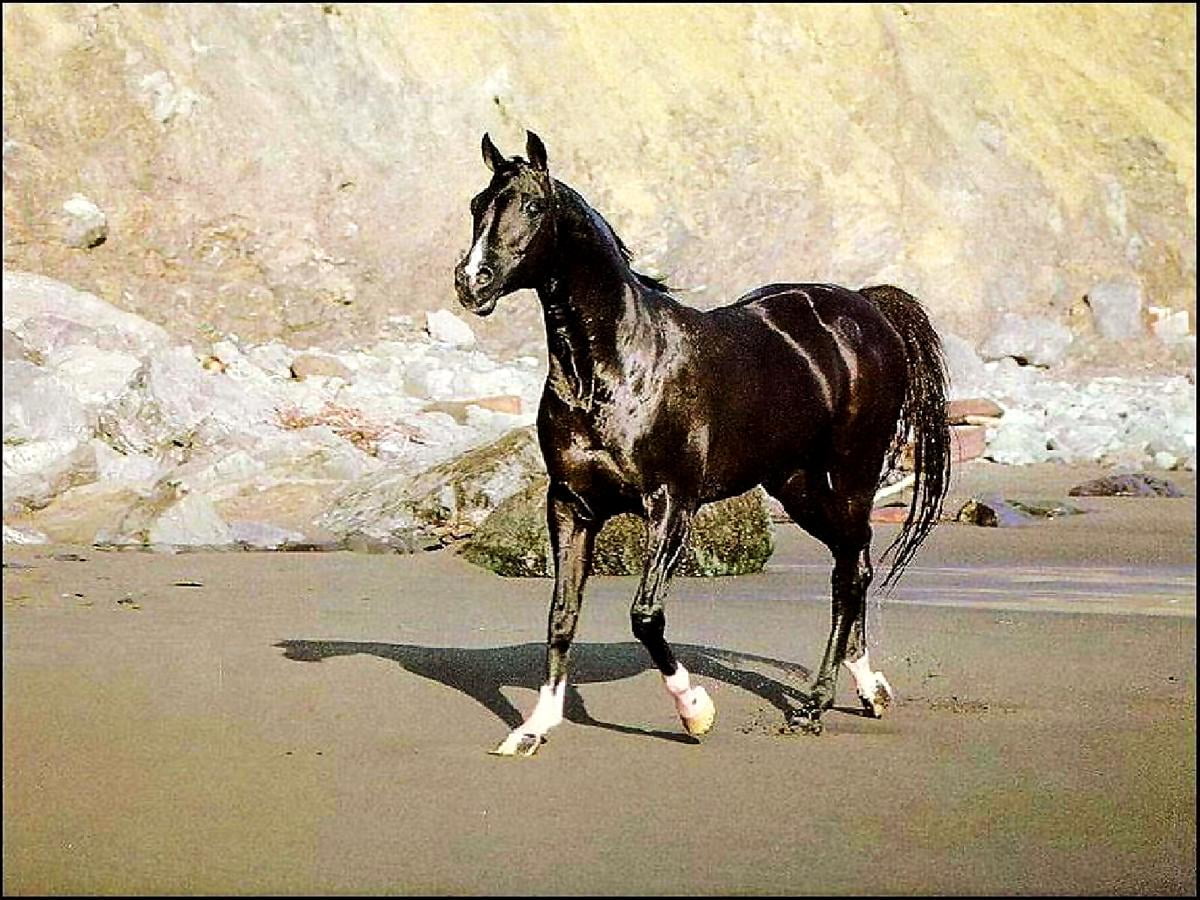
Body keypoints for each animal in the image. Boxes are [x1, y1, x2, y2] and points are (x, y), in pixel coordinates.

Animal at [453, 131, 951, 757]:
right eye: (478, 205)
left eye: (534, 206)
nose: (473, 281)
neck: (613, 368)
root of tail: (866, 308)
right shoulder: (570, 504)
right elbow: (562, 614)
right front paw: (532, 729)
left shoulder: (672, 504)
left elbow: (646, 614)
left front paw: (695, 713)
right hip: (795, 487)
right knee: (852, 559)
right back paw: (870, 690)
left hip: (852, 474)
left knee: (850, 574)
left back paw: (814, 707)